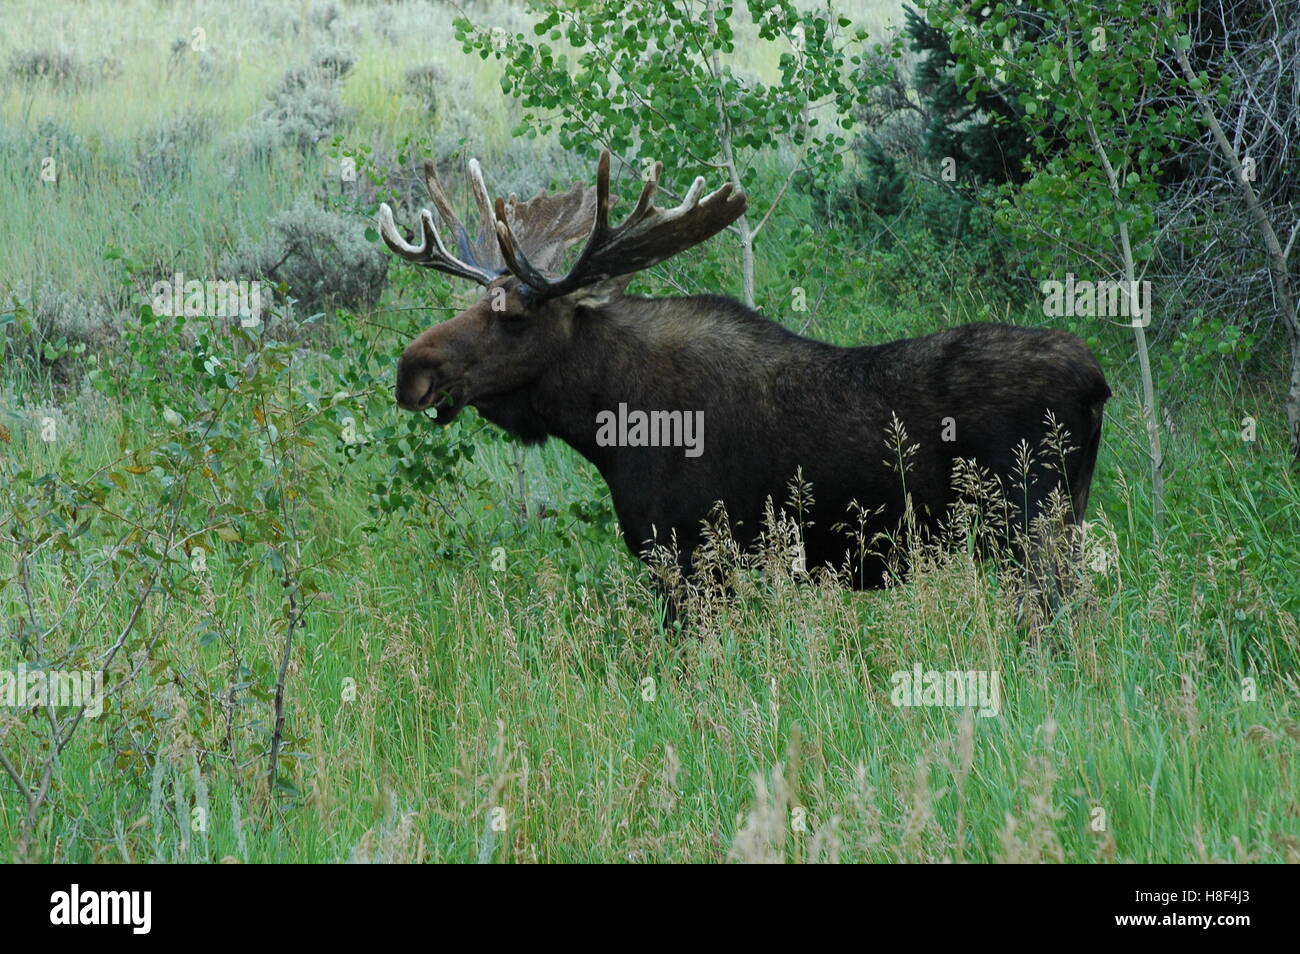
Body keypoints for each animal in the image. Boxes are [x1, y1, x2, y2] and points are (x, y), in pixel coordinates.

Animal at [377, 151, 1111, 625]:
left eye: (515, 316)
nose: (411, 369)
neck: (605, 426)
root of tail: (1099, 385)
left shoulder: (689, 556)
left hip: (1028, 528)